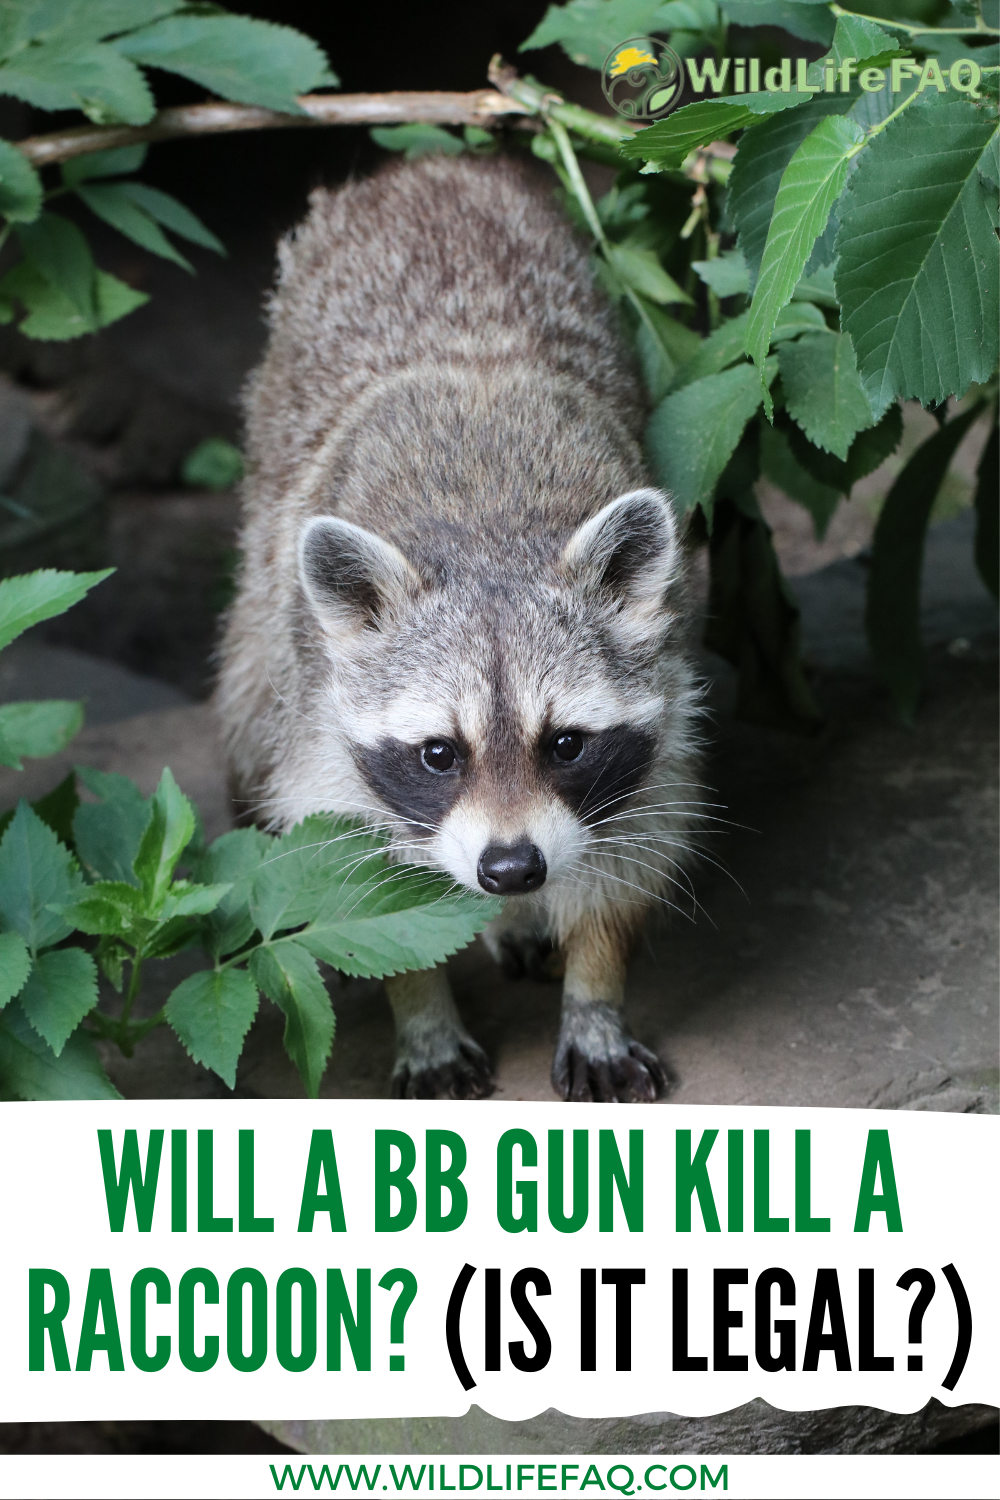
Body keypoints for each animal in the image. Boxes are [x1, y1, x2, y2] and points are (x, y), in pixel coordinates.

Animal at [218, 155, 701, 1103]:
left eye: (566, 744)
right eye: (440, 753)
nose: (511, 868)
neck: (489, 542)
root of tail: (427, 168)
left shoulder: (664, 688)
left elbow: (631, 850)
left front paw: (596, 993)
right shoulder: (324, 712)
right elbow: (367, 889)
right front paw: (424, 1015)